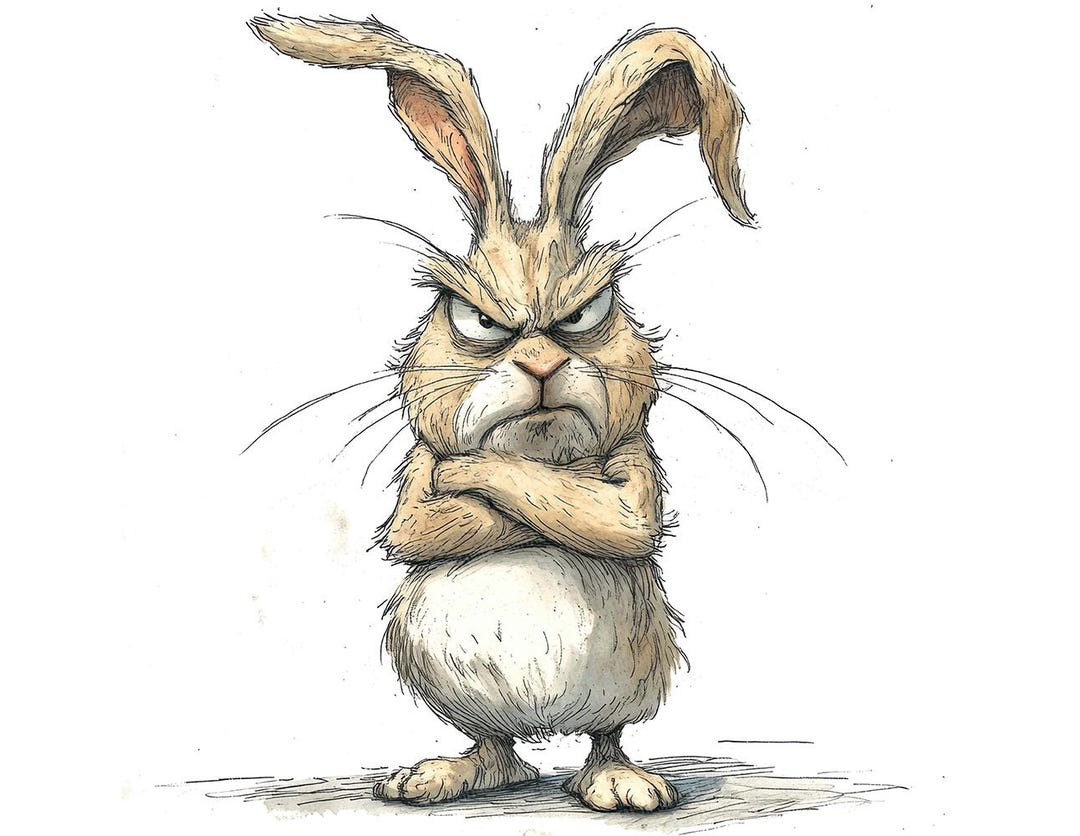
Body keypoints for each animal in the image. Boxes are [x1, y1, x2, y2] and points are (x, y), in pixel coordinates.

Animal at [249, 14, 753, 812]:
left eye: (586, 312)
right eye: (475, 318)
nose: (541, 364)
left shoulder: (635, 464)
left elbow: (620, 519)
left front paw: (488, 475)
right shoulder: (417, 471)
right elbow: (419, 524)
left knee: (604, 733)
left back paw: (619, 782)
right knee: (495, 745)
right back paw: (441, 776)